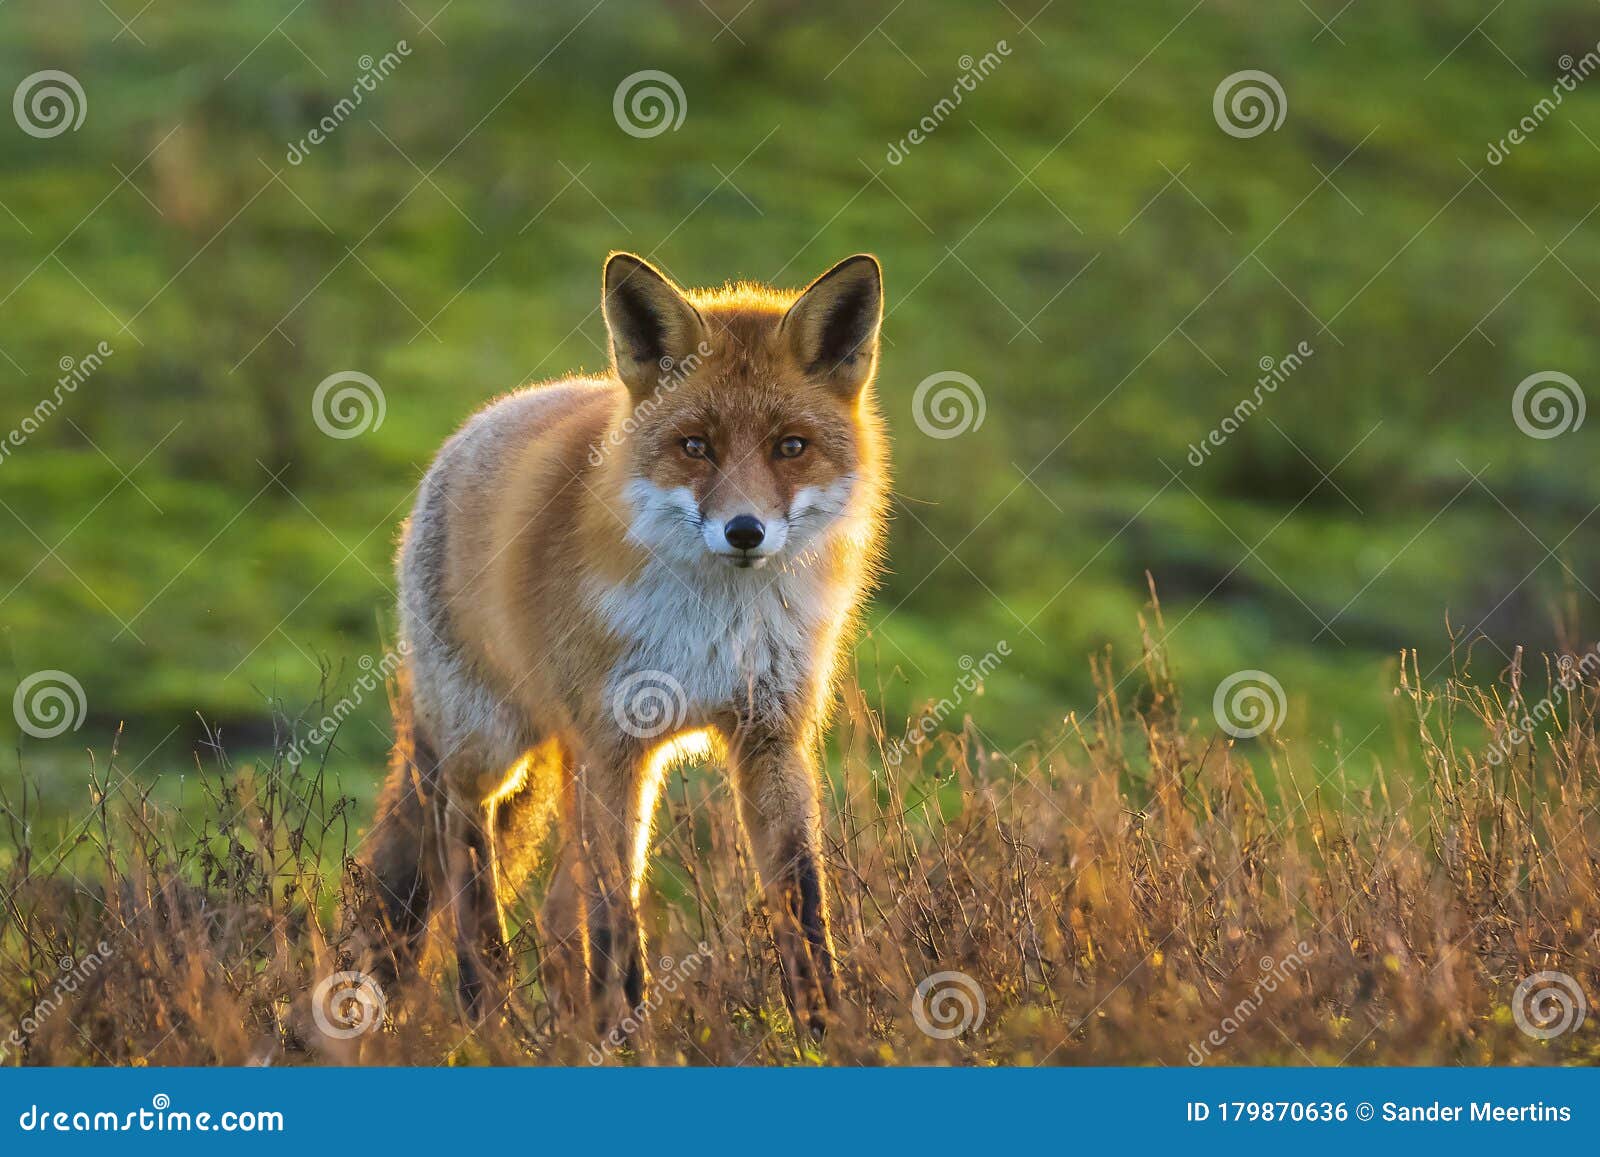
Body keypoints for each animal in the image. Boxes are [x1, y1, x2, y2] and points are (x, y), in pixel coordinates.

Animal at [356, 251, 889, 1036]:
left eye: (791, 447)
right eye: (695, 446)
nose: (745, 531)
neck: (713, 628)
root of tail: (479, 422)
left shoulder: (769, 736)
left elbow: (803, 901)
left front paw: (827, 1029)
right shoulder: (616, 745)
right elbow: (615, 916)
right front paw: (629, 1035)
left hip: (567, 758)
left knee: (553, 908)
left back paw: (561, 1020)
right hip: (489, 741)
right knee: (462, 846)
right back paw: (488, 1006)